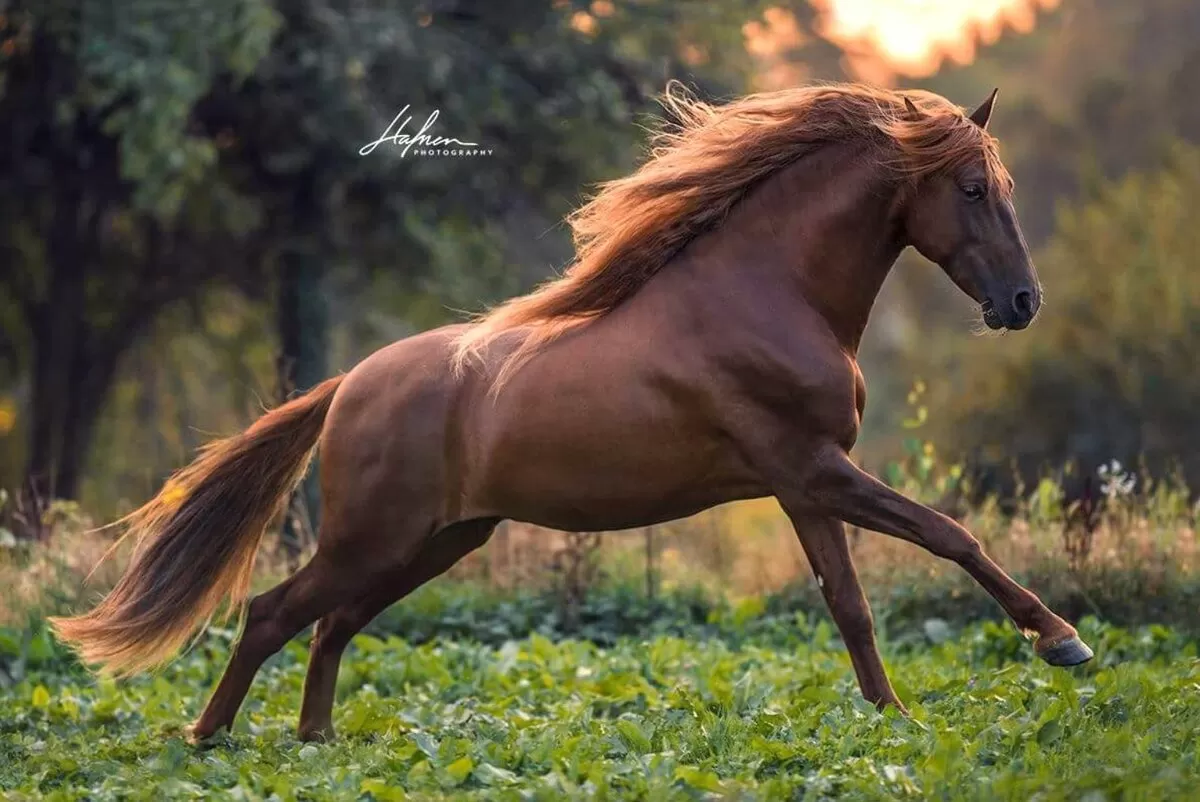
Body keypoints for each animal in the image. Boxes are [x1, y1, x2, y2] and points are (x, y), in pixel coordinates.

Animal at [51, 84, 1094, 744]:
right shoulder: (812, 470)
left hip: (438, 542)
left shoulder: (804, 486)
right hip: (374, 537)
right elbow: (949, 537)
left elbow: (851, 607)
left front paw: (894, 721)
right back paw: (207, 740)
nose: (1023, 302)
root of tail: (346, 385)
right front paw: (1063, 644)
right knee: (274, 613)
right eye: (973, 188)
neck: (767, 292)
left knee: (331, 625)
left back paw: (317, 741)